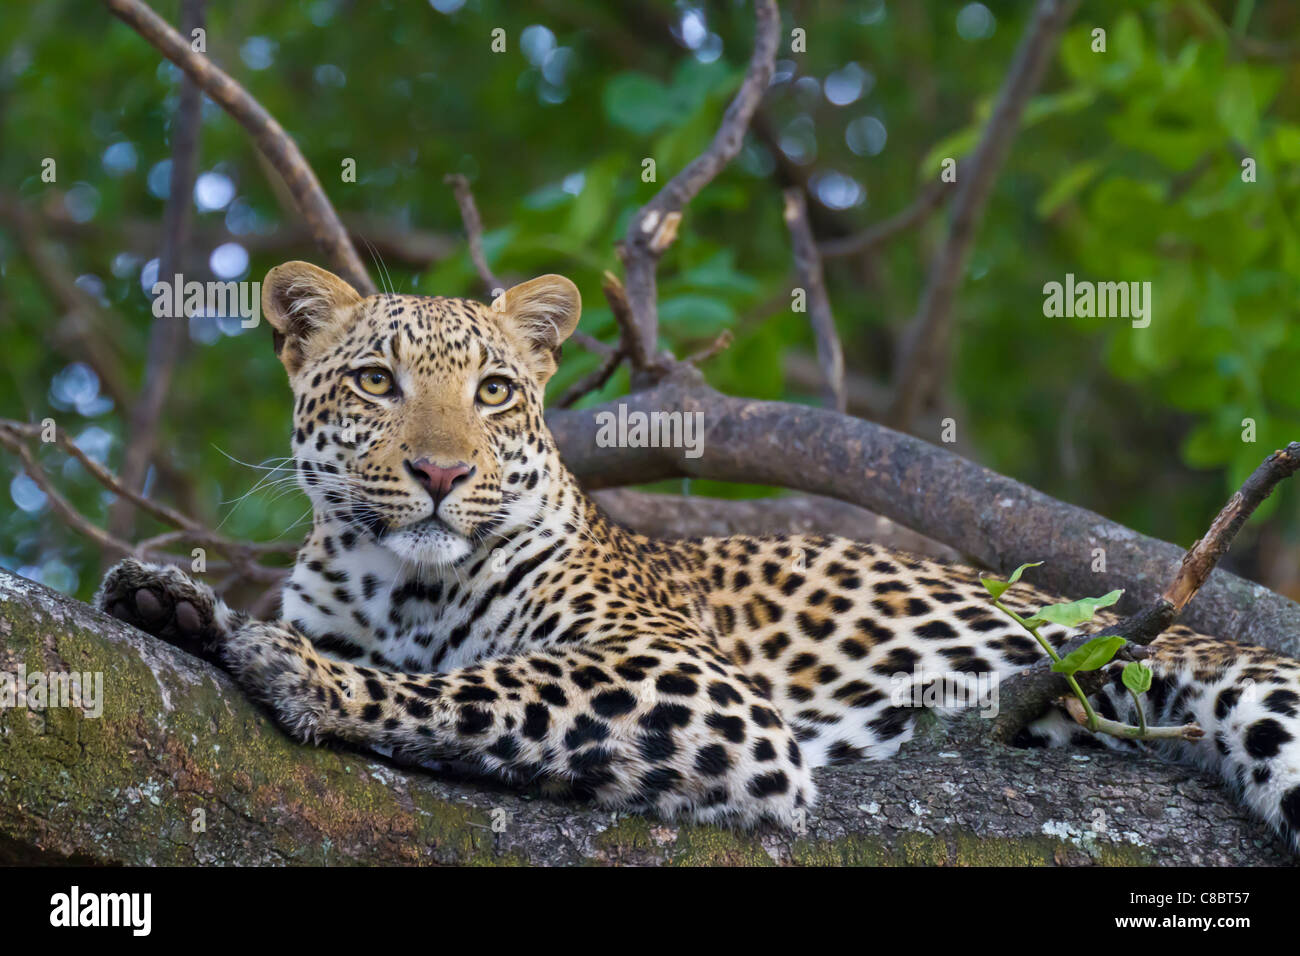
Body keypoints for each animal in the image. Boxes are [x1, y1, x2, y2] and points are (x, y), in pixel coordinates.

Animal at [97, 260, 1300, 849]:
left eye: (494, 391)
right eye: (375, 382)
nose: (440, 472)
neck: (402, 586)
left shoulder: (695, 685)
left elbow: (483, 686)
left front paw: (299, 670)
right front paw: (170, 602)